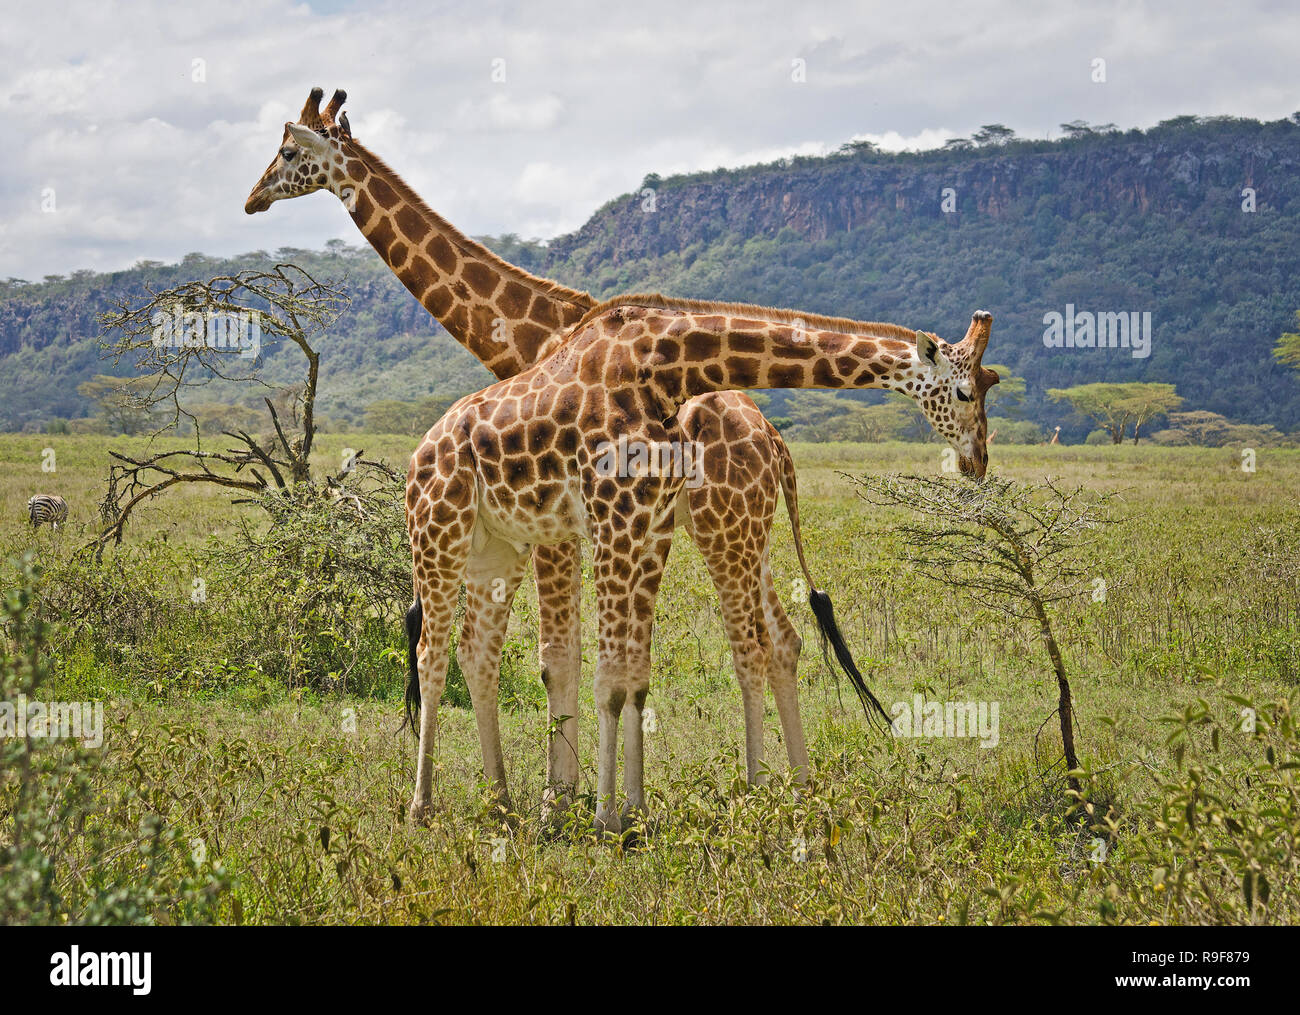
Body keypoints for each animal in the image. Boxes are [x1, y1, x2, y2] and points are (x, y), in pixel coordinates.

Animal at [244, 88, 826, 818]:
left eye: (288, 152)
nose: (253, 197)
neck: (529, 334)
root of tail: (774, 442)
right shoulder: (561, 523)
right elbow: (565, 655)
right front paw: (568, 792)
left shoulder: (560, 524)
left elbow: (558, 656)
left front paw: (559, 797)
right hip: (749, 531)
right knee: (783, 638)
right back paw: (799, 782)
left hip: (725, 527)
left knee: (751, 640)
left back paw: (756, 786)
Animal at [406, 296, 998, 834]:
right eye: (964, 391)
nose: (978, 461)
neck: (667, 370)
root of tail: (421, 451)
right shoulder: (613, 521)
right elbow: (607, 678)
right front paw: (603, 819)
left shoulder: (645, 526)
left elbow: (631, 678)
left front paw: (633, 817)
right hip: (438, 530)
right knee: (430, 654)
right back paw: (422, 808)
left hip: (497, 548)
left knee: (476, 653)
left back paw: (501, 805)